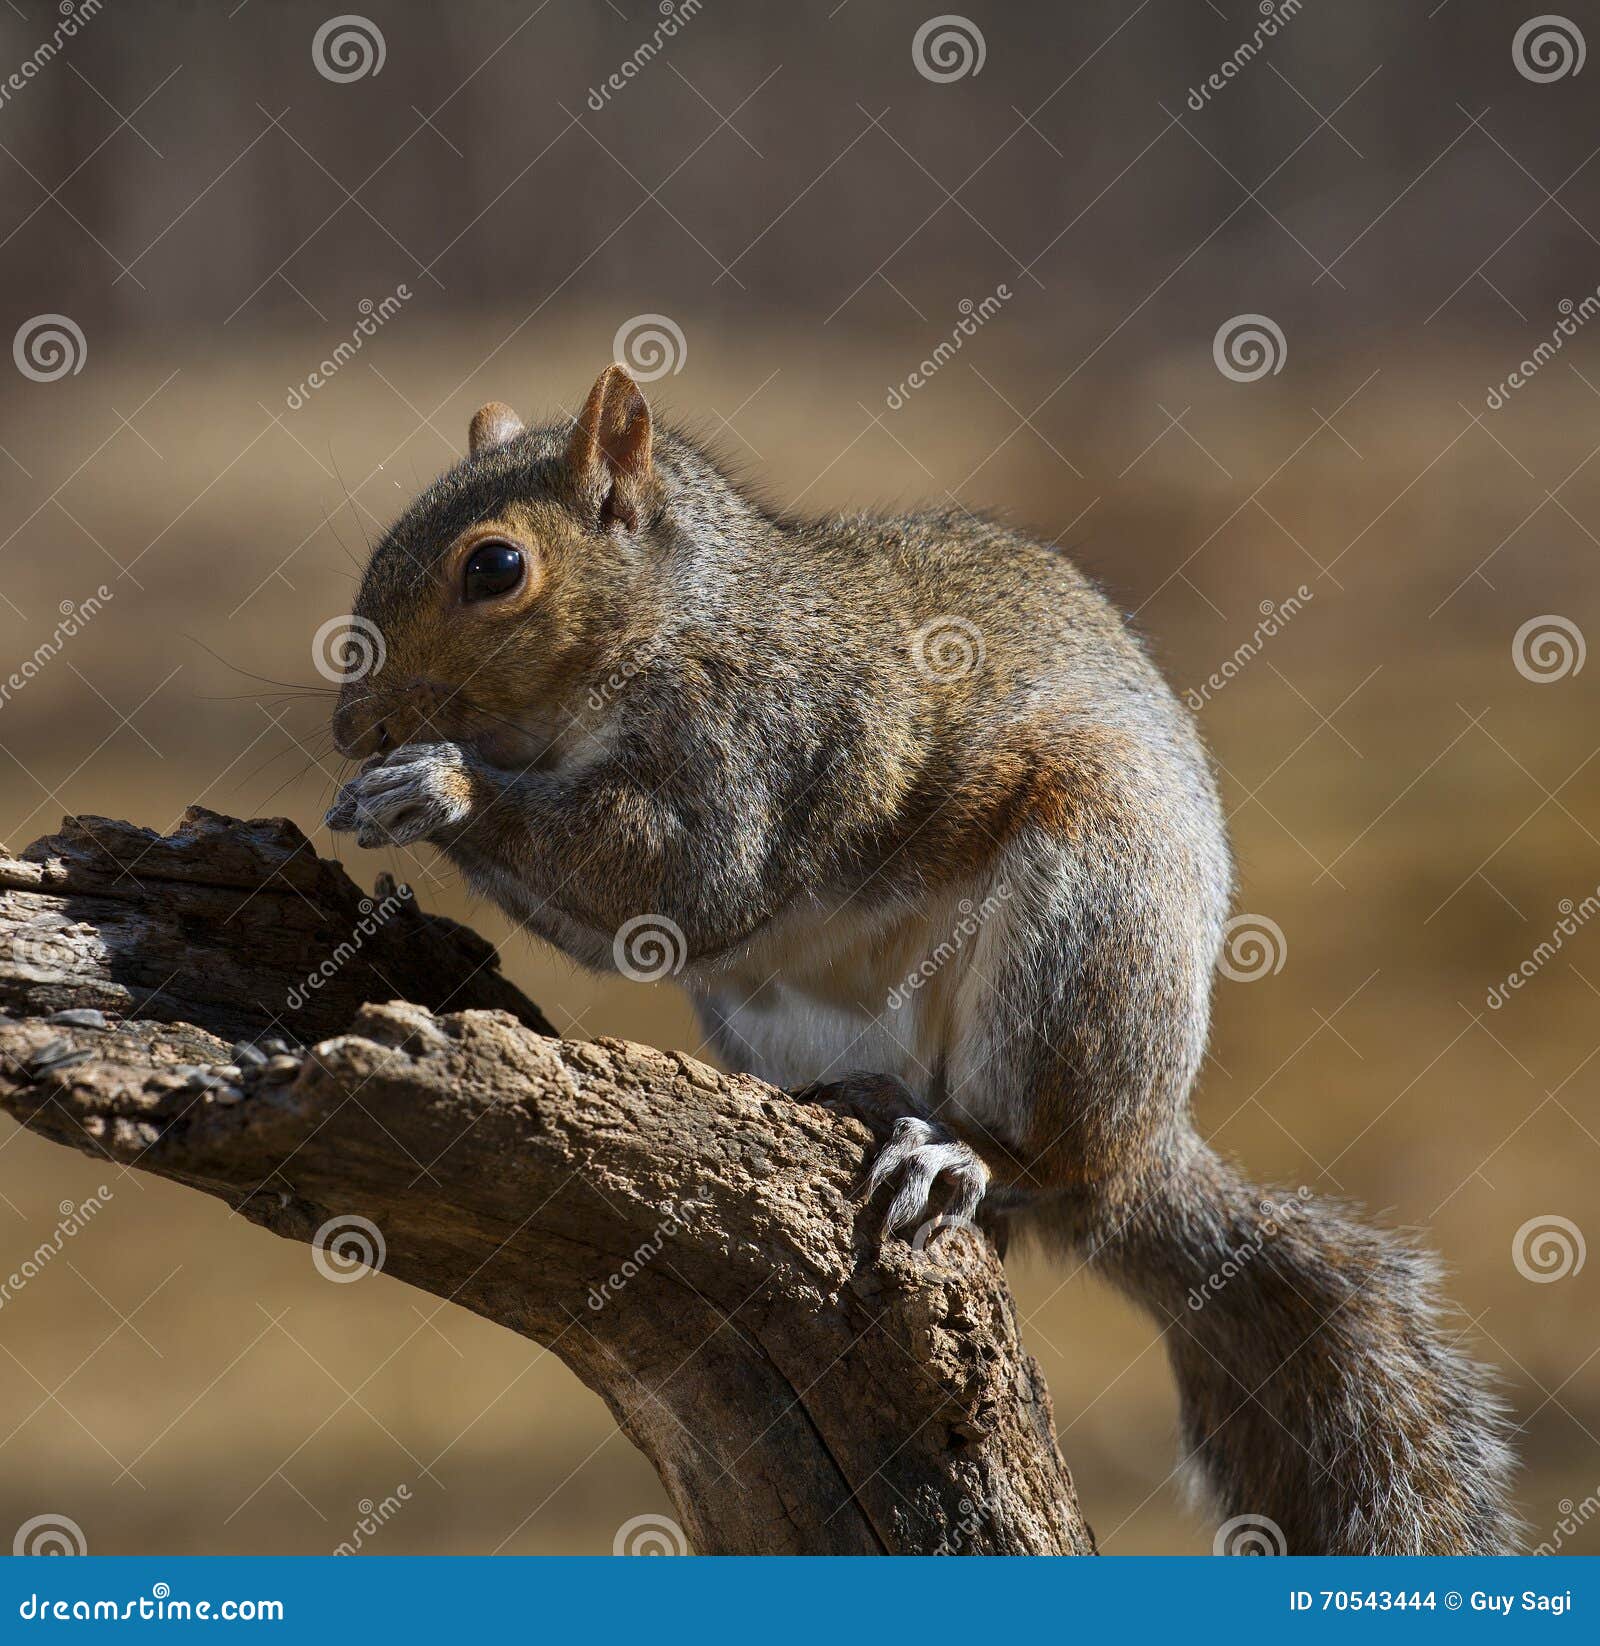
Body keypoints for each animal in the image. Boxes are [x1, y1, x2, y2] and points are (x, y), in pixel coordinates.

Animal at [324, 361, 1517, 1555]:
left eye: (495, 567)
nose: (351, 727)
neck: (678, 617)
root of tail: (1142, 1154)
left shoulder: (759, 738)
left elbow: (673, 878)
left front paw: (436, 786)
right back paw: (869, 1098)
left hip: (1083, 930)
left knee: (1039, 1161)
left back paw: (961, 1151)